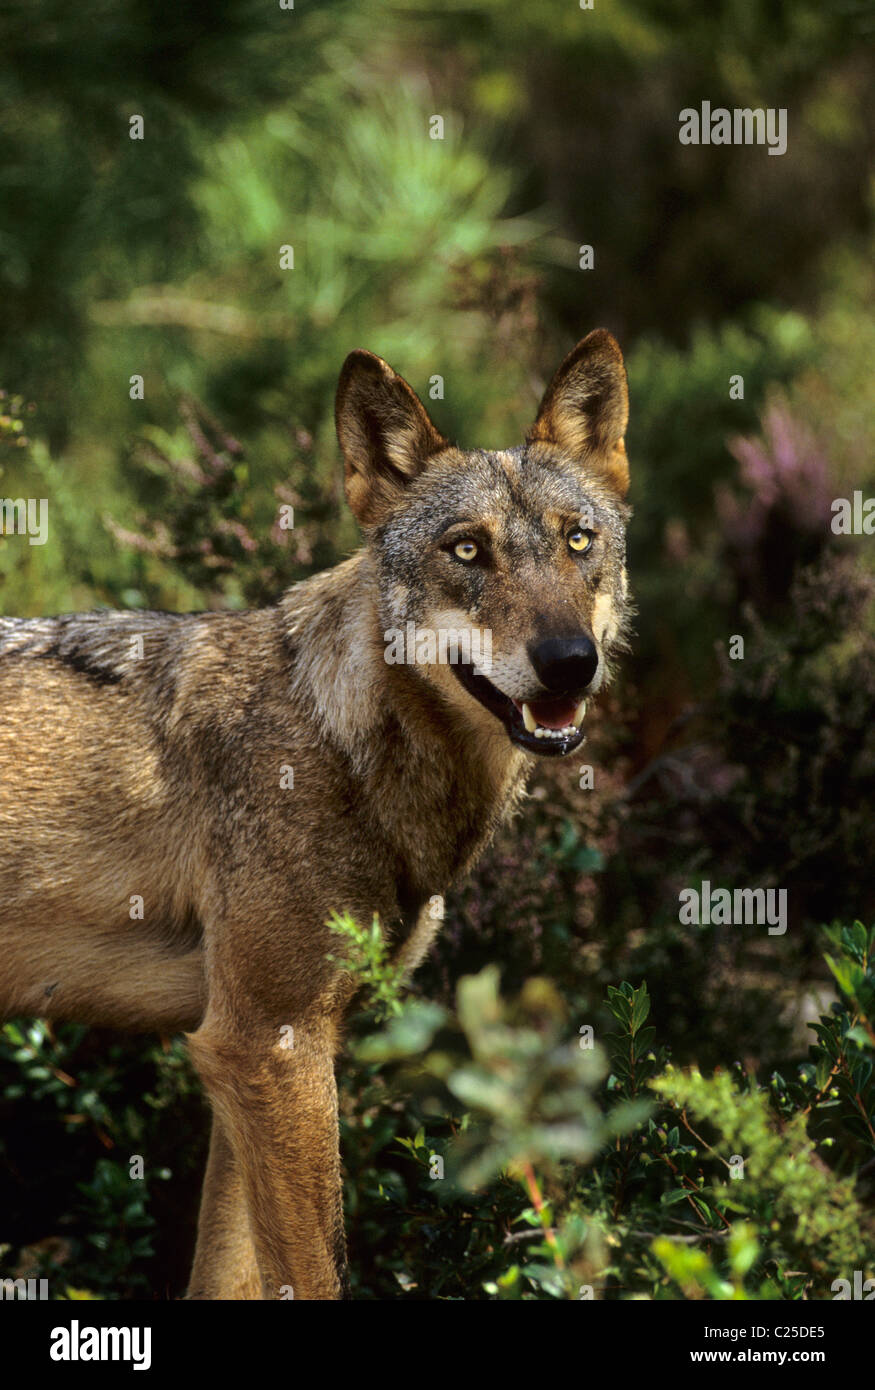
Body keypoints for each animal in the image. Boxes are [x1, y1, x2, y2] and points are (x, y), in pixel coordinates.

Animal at [0, 329, 632, 1299]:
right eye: (466, 552)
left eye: (576, 541)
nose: (569, 661)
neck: (341, 743)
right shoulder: (269, 1046)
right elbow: (320, 1270)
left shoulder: (246, 1058)